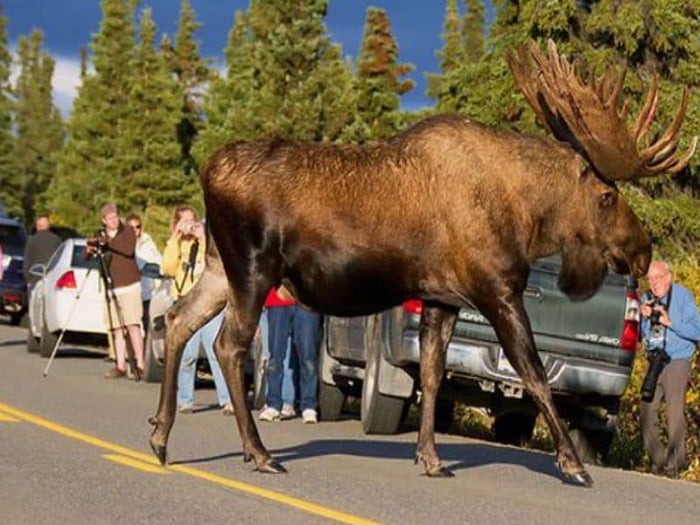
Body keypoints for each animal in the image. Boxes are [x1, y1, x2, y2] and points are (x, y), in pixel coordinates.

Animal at [148, 40, 695, 487]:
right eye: (607, 196)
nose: (642, 251)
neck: (526, 216)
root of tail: (208, 171)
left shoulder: (442, 298)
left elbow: (433, 377)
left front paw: (430, 457)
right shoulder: (497, 290)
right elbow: (534, 373)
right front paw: (573, 464)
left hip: (220, 267)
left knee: (177, 320)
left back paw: (160, 437)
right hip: (254, 268)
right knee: (228, 345)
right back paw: (258, 453)